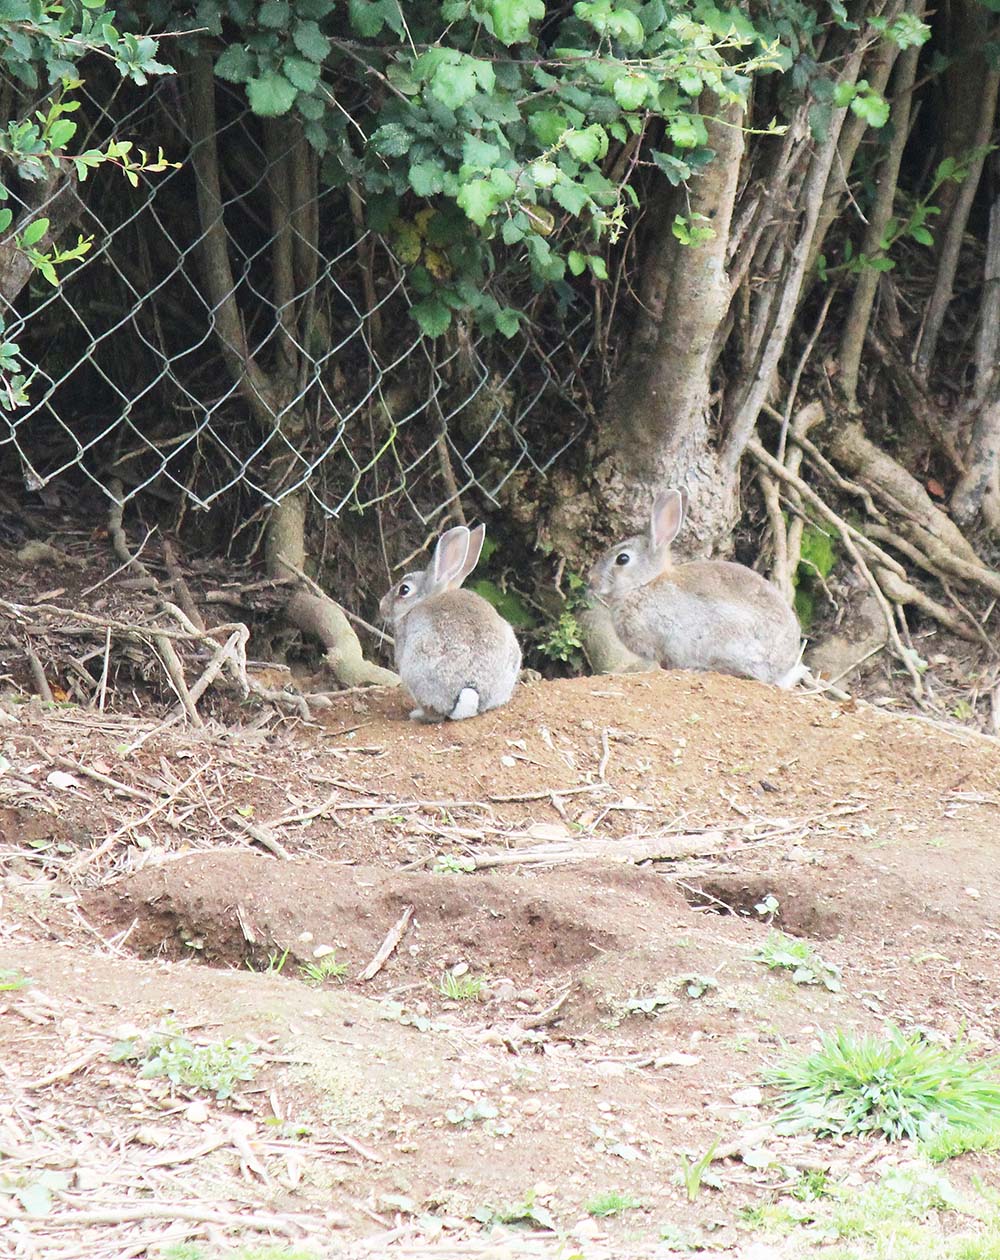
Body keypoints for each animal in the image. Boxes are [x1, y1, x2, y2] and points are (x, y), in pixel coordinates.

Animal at [379, 524, 522, 721]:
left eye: (404, 590)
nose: (381, 606)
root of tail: (472, 690)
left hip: (414, 668)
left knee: (435, 714)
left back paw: (417, 715)